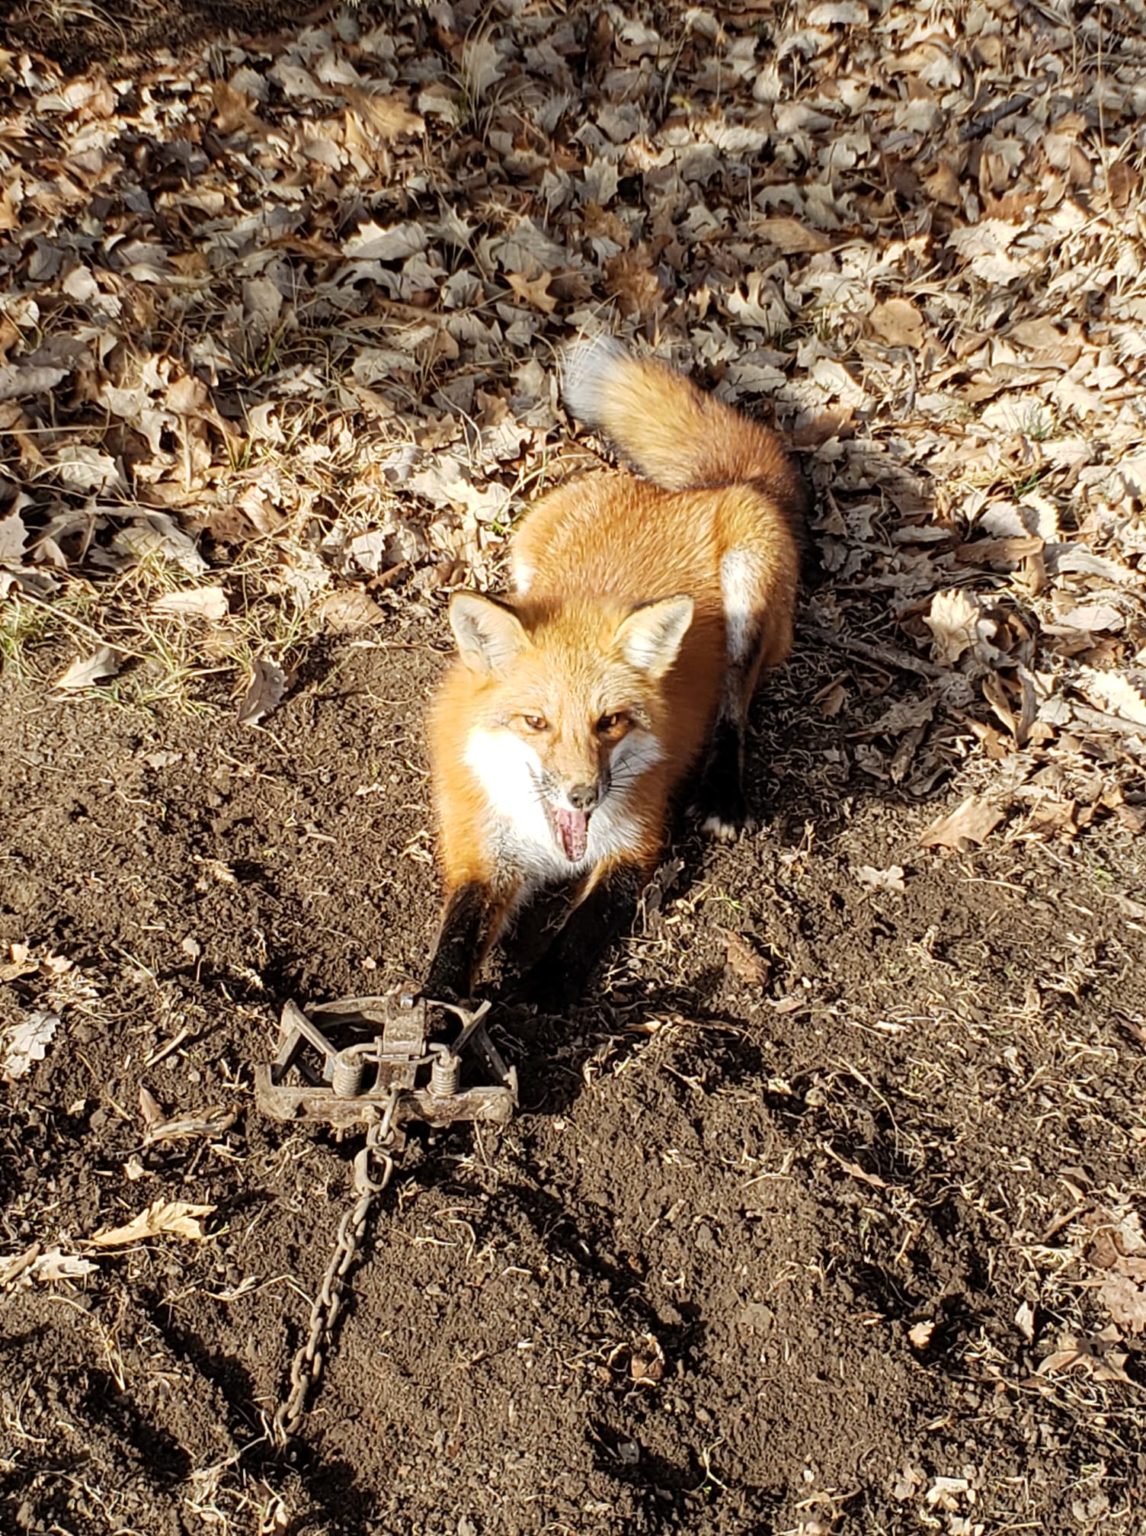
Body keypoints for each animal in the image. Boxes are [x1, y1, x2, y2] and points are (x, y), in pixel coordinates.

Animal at [422, 338, 808, 1004]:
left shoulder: (637, 842)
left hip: (750, 586)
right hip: (522, 557)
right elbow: (455, 945)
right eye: (535, 722)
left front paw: (528, 1002)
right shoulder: (484, 852)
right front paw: (429, 1016)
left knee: (735, 702)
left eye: (611, 722)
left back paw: (722, 793)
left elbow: (578, 939)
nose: (584, 793)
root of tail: (690, 492)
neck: (553, 845)